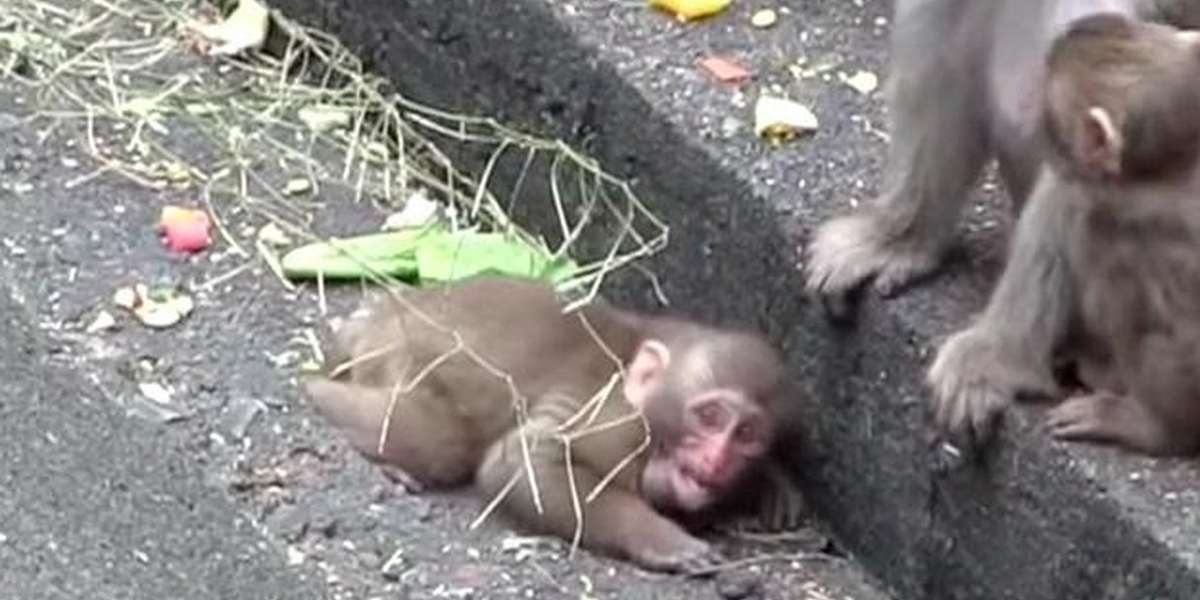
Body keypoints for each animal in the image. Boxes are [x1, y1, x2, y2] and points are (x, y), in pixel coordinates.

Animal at [301, 276, 795, 573]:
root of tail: (378, 318)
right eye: (709, 417)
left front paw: (771, 485)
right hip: (396, 356)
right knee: (444, 441)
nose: (716, 458)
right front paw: (663, 539)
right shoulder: (613, 422)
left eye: (745, 435)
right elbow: (522, 464)